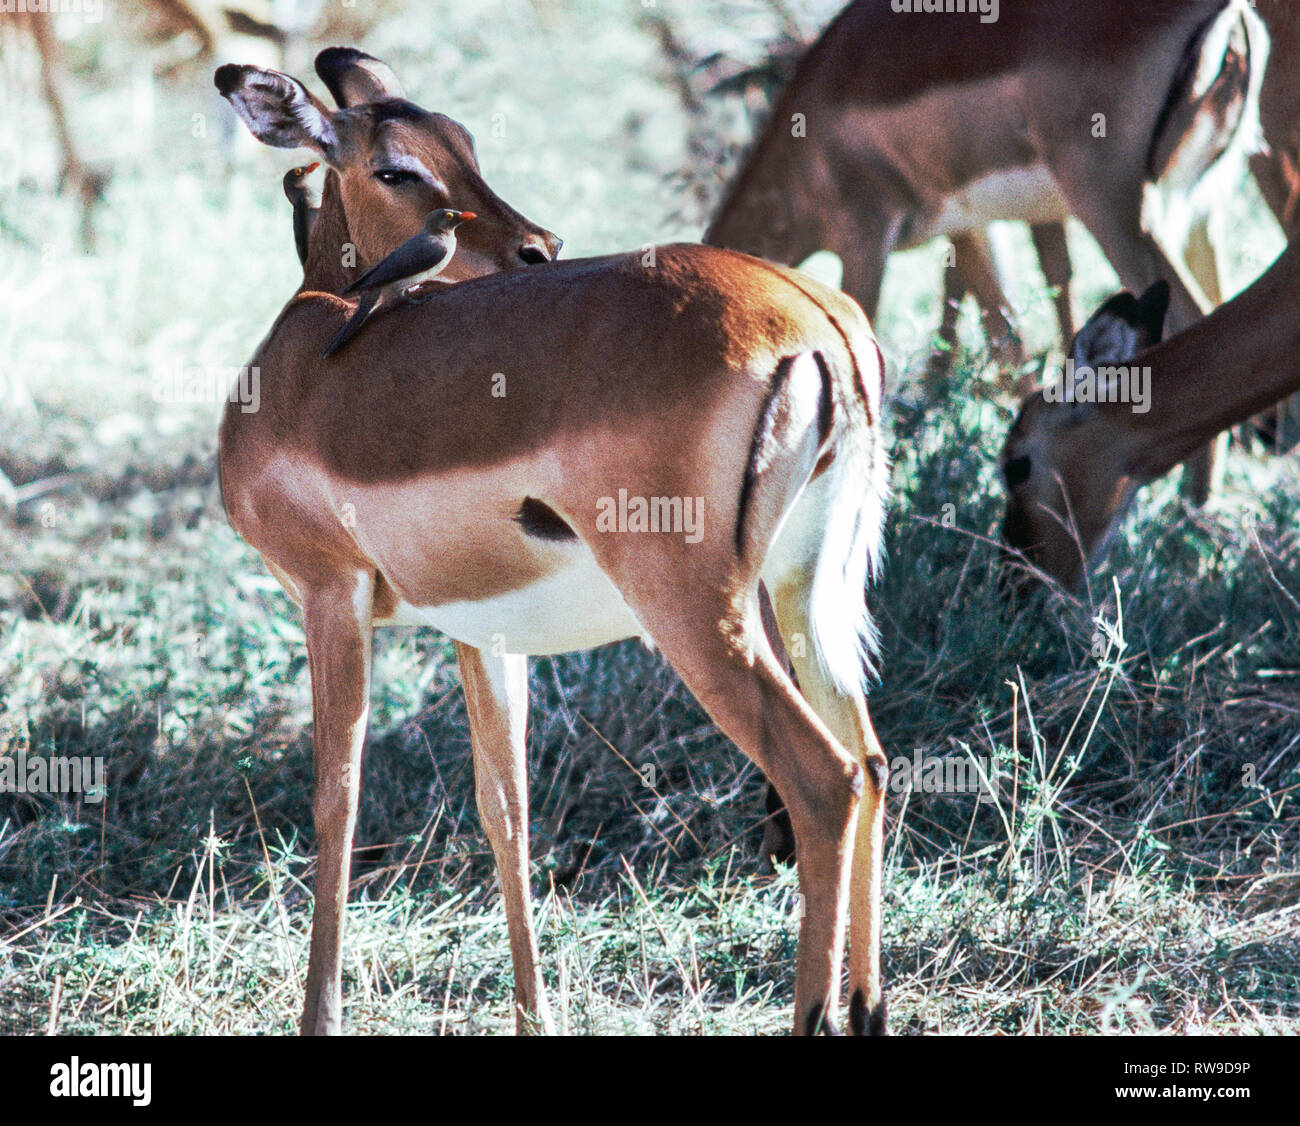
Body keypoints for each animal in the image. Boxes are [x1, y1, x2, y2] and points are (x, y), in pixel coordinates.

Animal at [217, 51, 893, 1036]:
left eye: (462, 146)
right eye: (400, 163)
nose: (537, 245)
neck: (312, 339)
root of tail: (817, 320)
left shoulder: (330, 597)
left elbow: (335, 800)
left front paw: (321, 1017)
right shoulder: (481, 631)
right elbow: (508, 807)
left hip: (700, 613)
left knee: (823, 781)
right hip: (804, 590)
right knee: (871, 763)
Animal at [705, 0, 1268, 499]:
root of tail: (1230, 13)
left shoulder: (864, 237)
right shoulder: (971, 228)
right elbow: (1007, 343)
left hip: (1121, 213)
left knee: (1196, 322)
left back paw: (1189, 504)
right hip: (1199, 209)